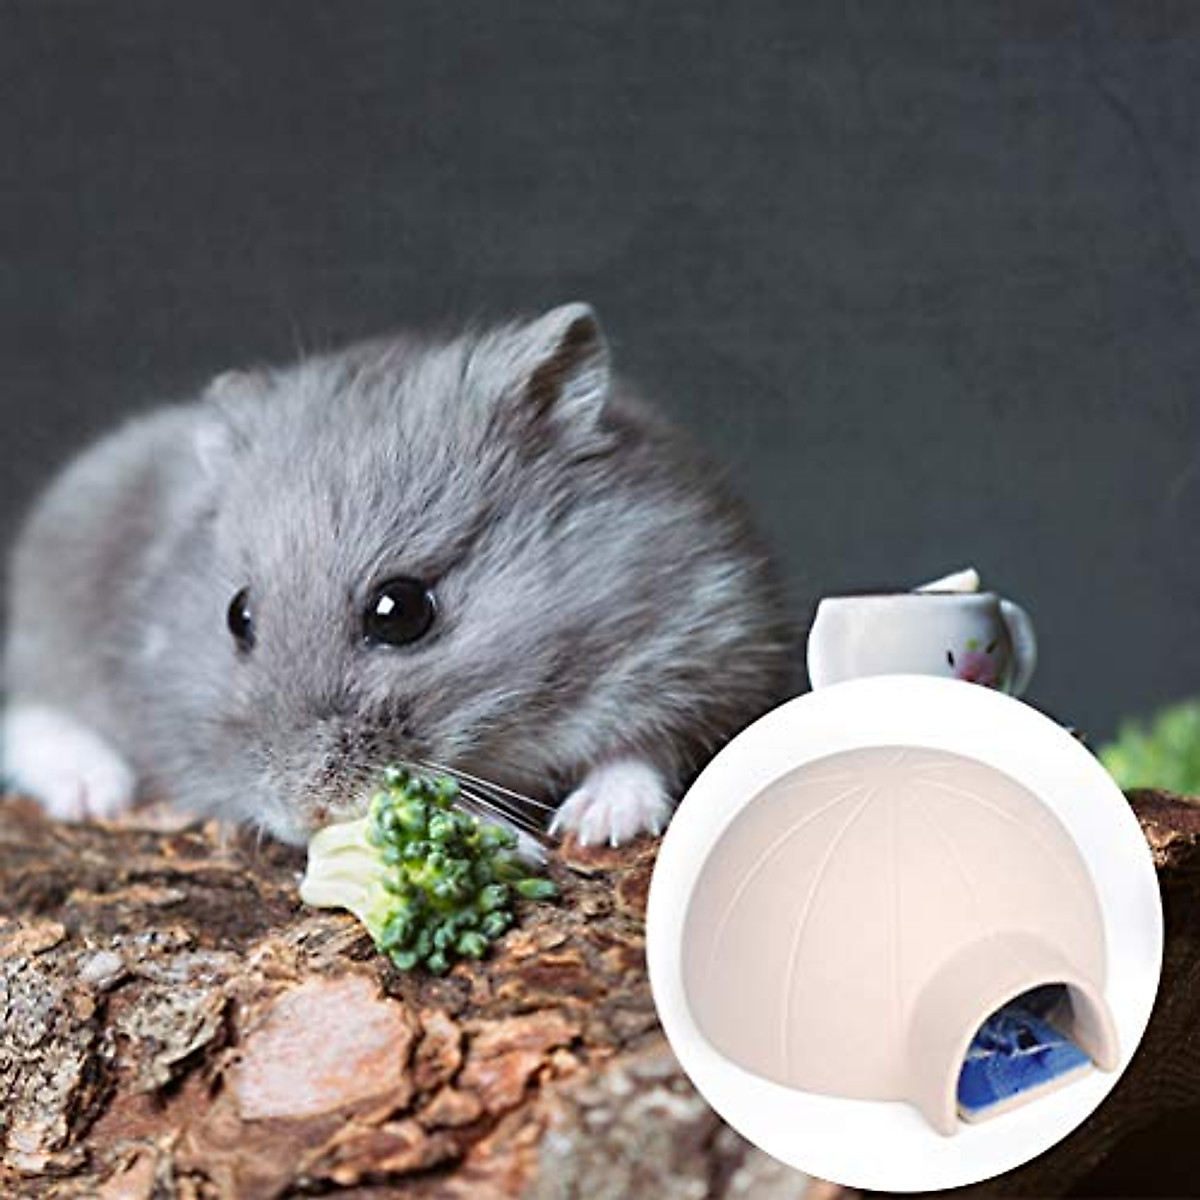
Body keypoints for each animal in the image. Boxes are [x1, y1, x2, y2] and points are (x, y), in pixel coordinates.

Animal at [1, 303, 795, 847]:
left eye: (401, 610)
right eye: (236, 616)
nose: (304, 813)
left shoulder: (708, 638)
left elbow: (643, 750)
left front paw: (595, 826)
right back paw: (94, 792)